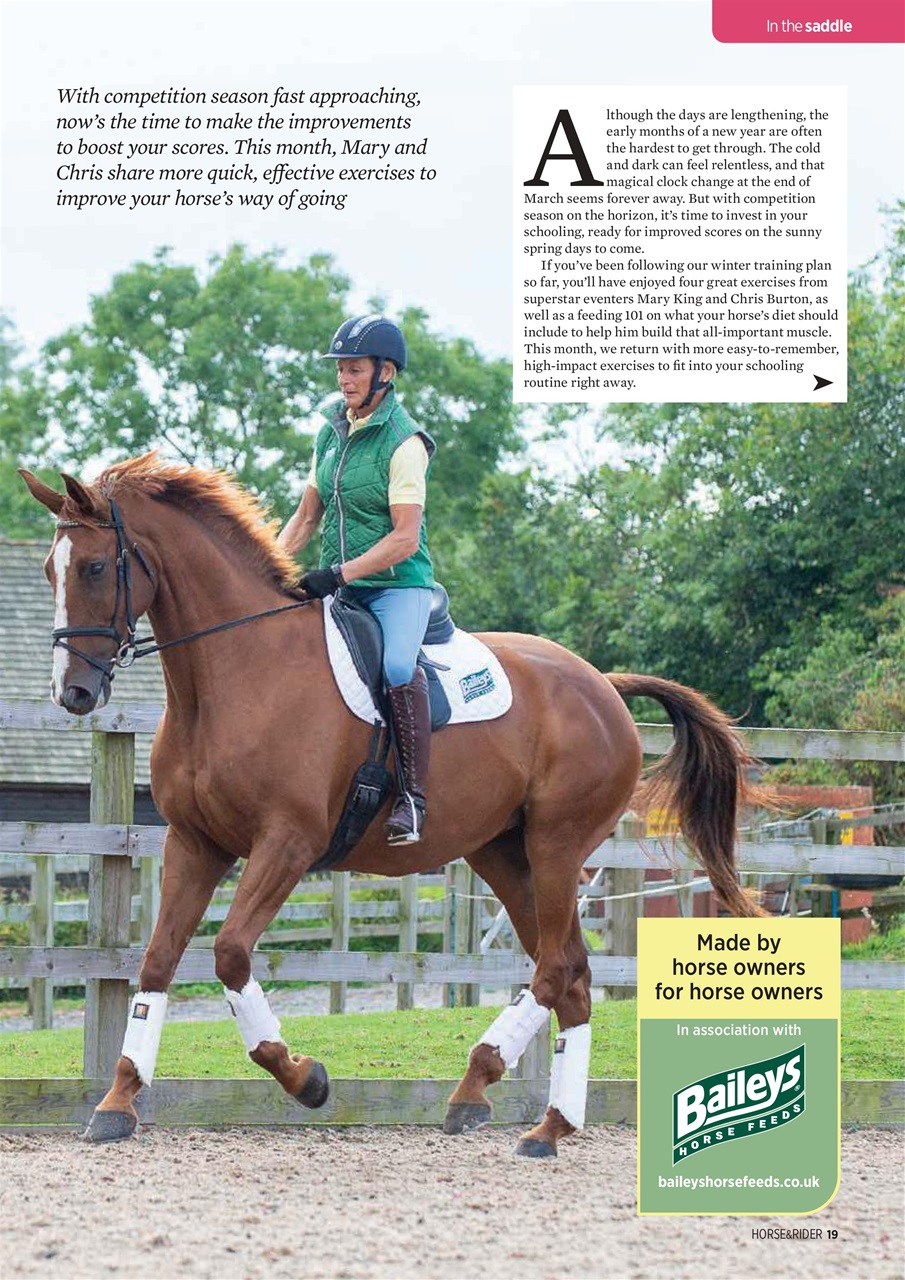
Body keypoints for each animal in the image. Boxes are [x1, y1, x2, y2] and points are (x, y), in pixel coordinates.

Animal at [20, 455, 762, 1157]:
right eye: (50, 572)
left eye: (93, 566)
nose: (73, 694)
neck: (234, 674)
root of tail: (602, 685)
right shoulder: (194, 843)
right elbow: (156, 961)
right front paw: (117, 1103)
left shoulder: (286, 843)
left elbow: (229, 954)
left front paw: (305, 1078)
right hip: (504, 854)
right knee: (572, 976)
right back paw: (539, 1122)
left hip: (555, 848)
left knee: (554, 969)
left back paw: (493, 1089)